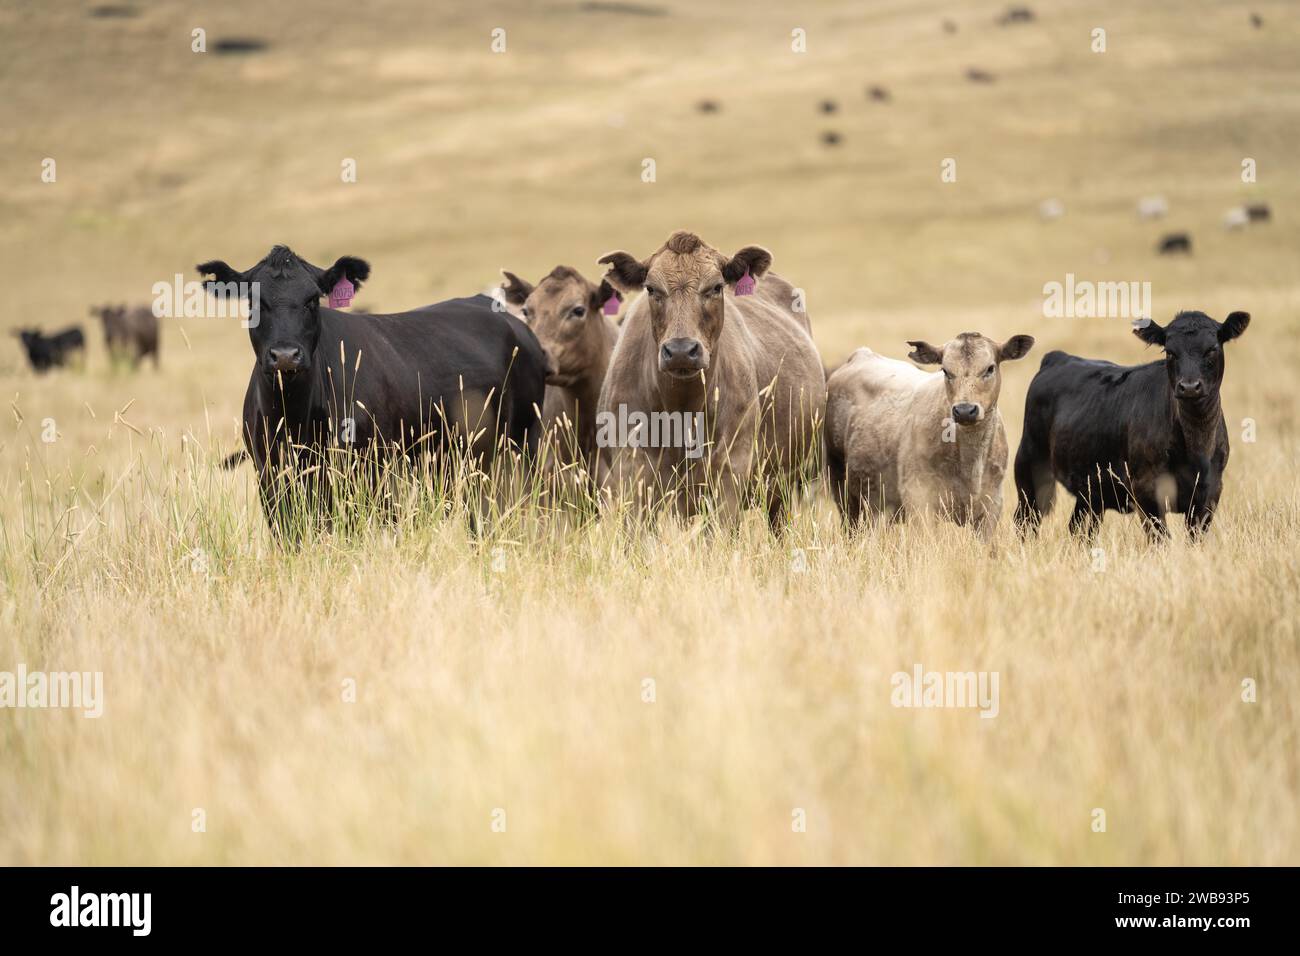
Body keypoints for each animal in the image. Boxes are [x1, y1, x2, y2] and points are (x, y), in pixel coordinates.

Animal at [197, 246, 548, 535]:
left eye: (312, 300)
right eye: (254, 301)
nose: (285, 355)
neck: (294, 416)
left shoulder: (363, 474)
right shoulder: (269, 476)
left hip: (522, 446)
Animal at [594, 230, 826, 529]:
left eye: (716, 287)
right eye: (651, 289)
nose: (681, 350)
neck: (682, 411)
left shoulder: (729, 473)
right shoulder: (634, 474)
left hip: (782, 489)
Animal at [825, 332, 1035, 541]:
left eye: (990, 368)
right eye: (945, 371)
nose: (965, 410)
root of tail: (861, 355)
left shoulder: (991, 506)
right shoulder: (919, 499)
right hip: (842, 488)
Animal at [1013, 310, 1250, 541]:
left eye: (1212, 349)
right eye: (1169, 352)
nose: (1189, 387)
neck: (1196, 444)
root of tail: (1058, 357)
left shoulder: (1209, 494)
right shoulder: (1146, 489)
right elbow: (1161, 539)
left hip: (1091, 488)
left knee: (1079, 529)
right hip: (1030, 466)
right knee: (1025, 521)